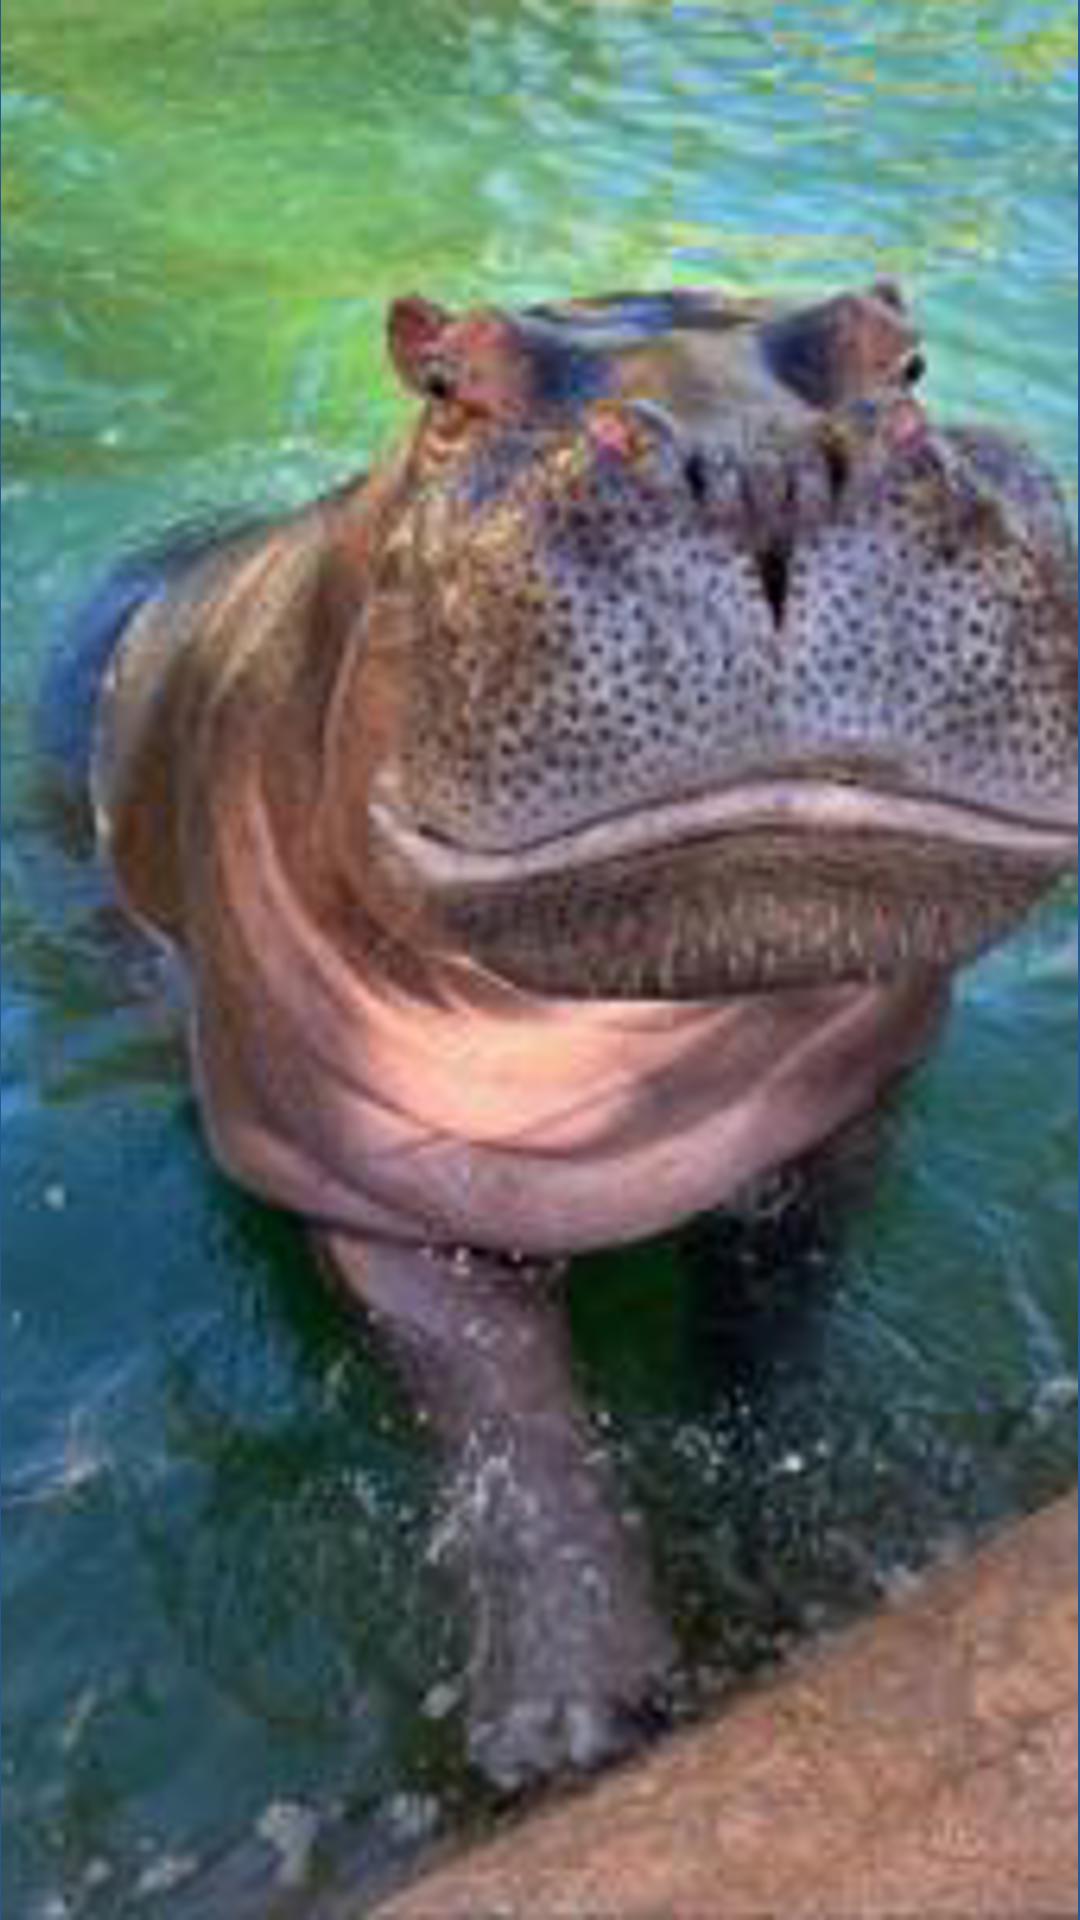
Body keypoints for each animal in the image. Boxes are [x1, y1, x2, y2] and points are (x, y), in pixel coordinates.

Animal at [63, 281, 1076, 1788]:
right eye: (441, 383)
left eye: (905, 357)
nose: (765, 471)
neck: (644, 1066)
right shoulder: (375, 1197)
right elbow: (516, 1431)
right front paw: (566, 1735)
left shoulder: (846, 1114)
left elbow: (778, 1335)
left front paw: (805, 1555)